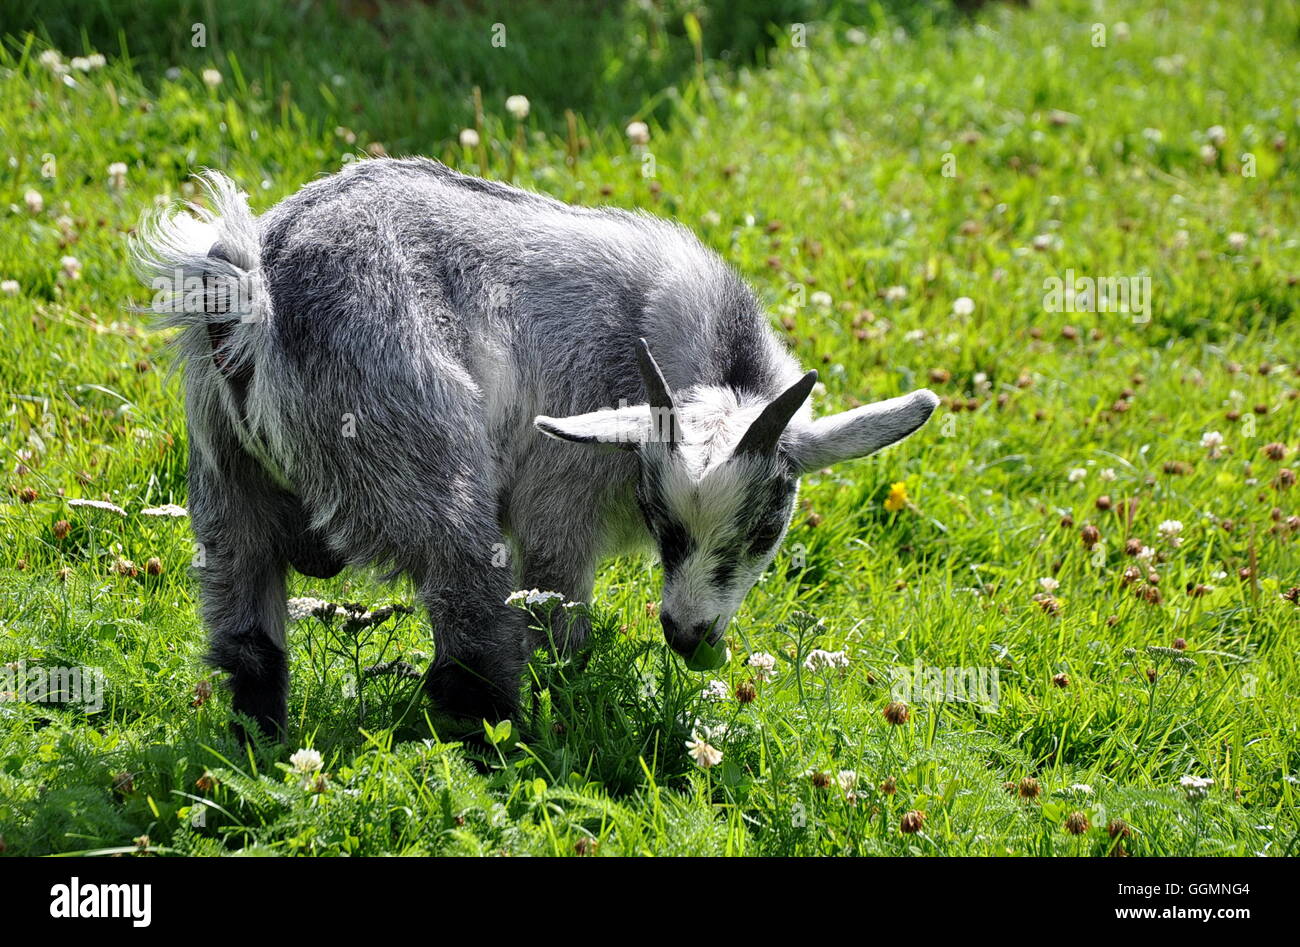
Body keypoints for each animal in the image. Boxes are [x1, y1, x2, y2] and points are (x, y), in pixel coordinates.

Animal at [133, 157, 938, 739]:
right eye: (662, 521)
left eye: (767, 529)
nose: (687, 636)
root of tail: (253, 289)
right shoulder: (562, 505)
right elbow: (562, 633)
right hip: (415, 455)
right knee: (475, 631)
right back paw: (498, 745)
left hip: (223, 477)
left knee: (247, 640)